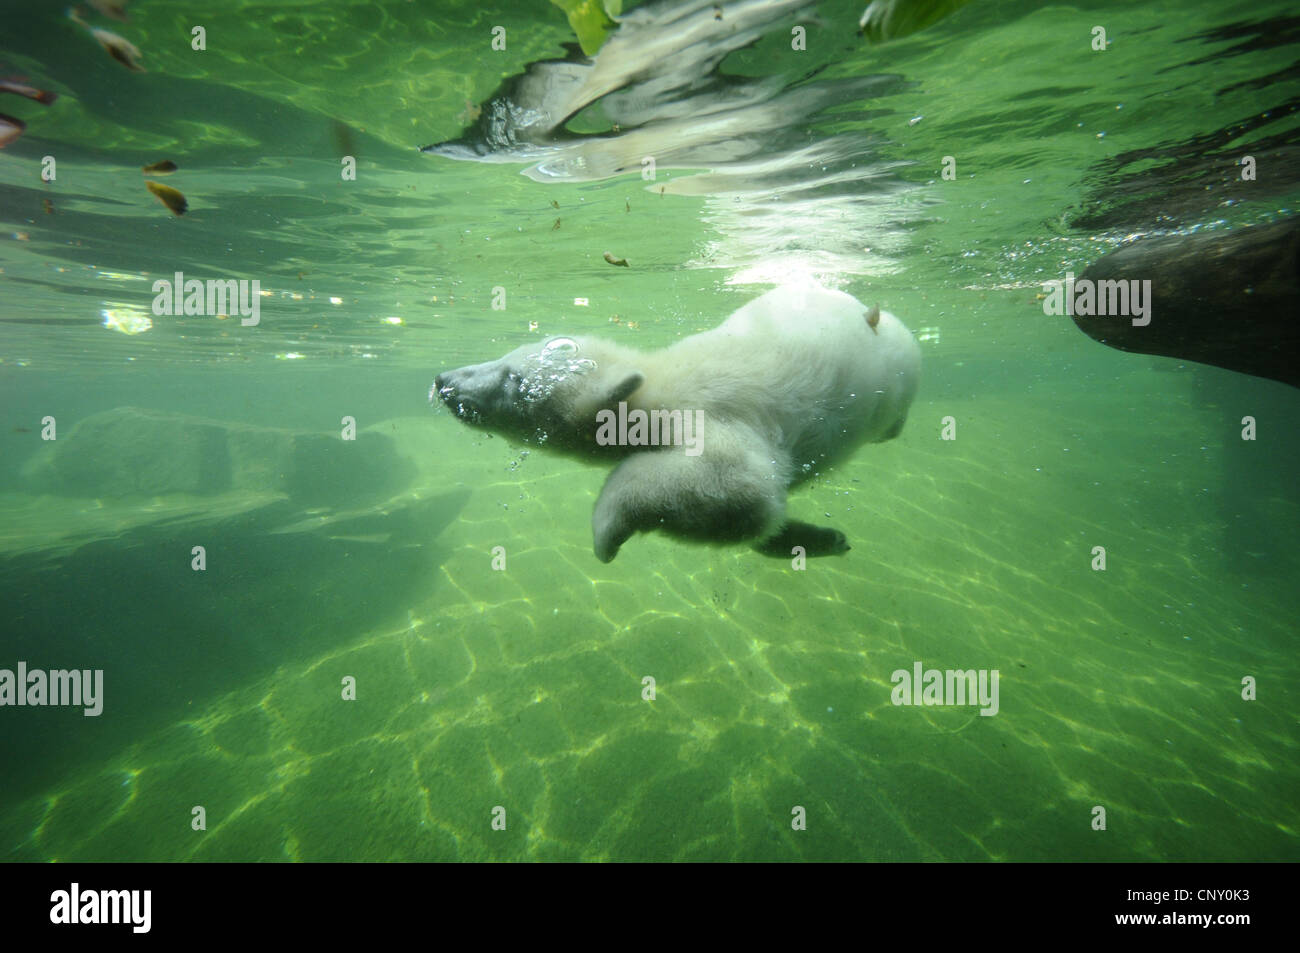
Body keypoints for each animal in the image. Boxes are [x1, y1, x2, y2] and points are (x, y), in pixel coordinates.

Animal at [431, 281, 921, 562]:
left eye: (513, 380)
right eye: (507, 357)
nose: (444, 381)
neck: (659, 383)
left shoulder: (713, 413)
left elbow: (738, 487)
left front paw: (605, 533)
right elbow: (758, 518)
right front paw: (824, 538)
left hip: (899, 363)